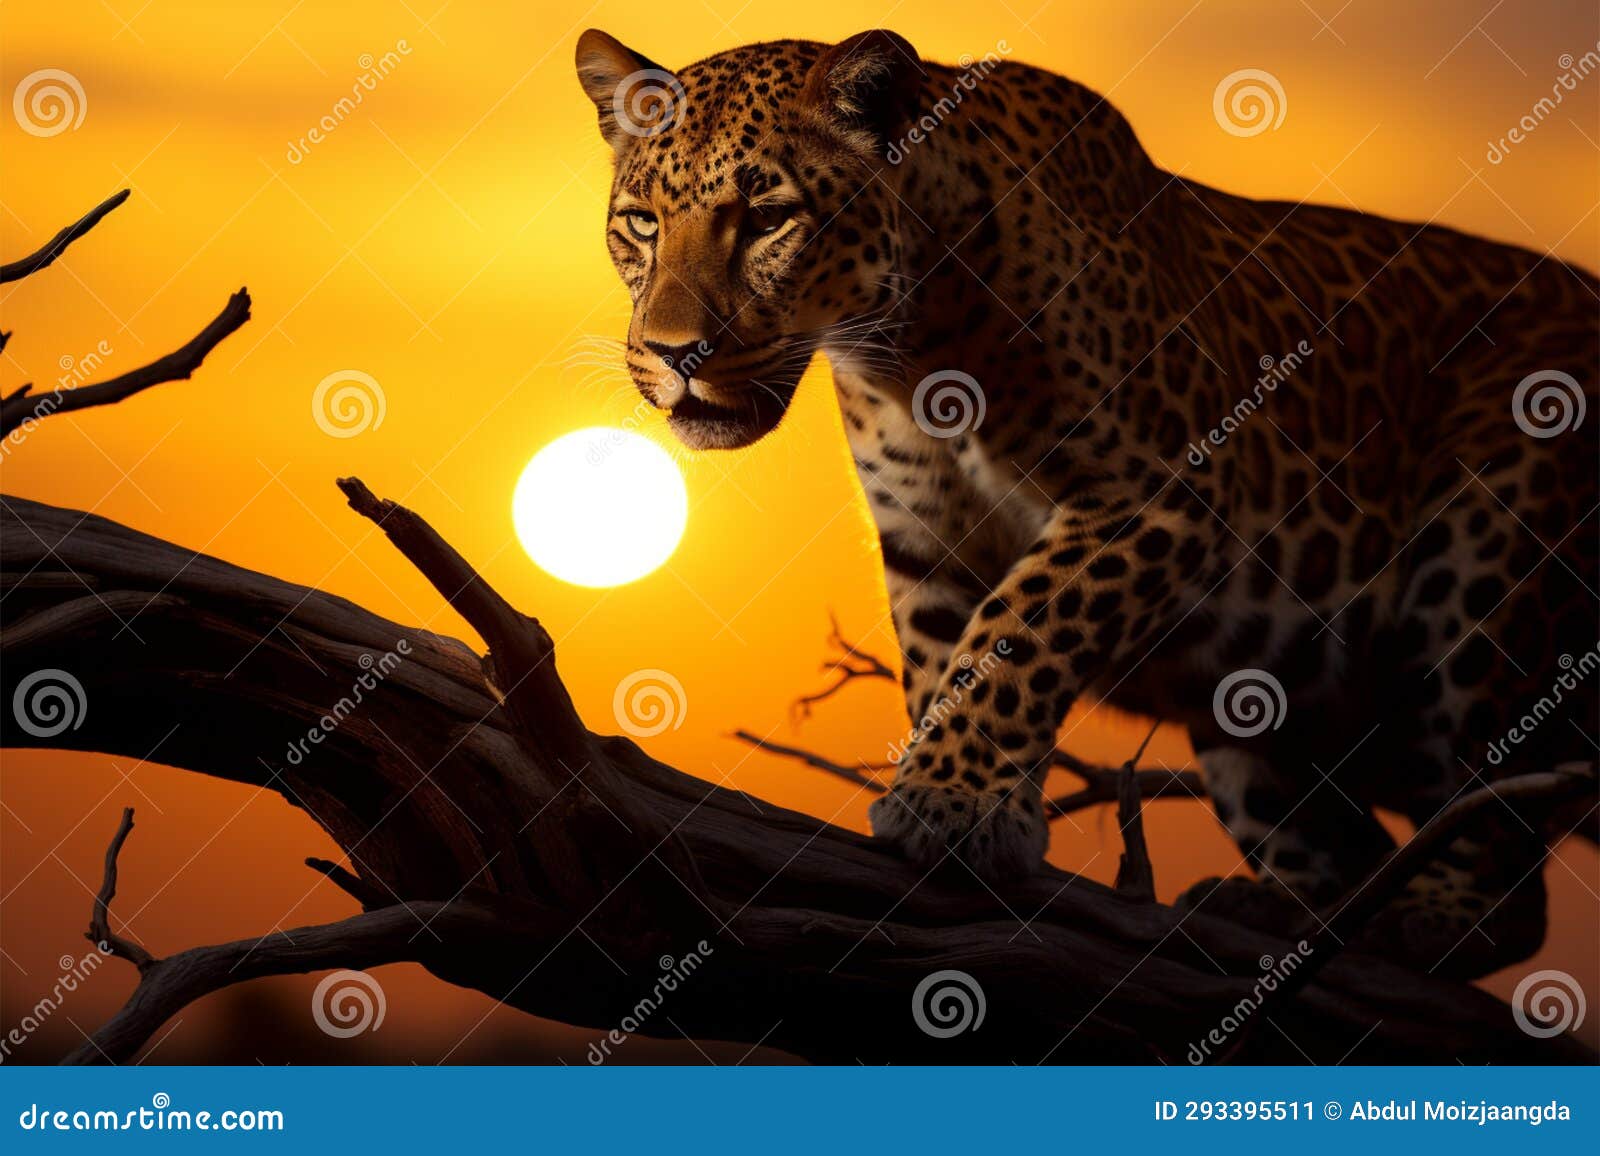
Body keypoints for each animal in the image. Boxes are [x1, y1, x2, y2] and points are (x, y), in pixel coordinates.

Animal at [575, 27, 1598, 978]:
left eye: (768, 218)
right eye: (642, 224)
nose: (674, 353)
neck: (913, 354)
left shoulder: (1160, 490)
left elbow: (1016, 634)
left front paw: (953, 801)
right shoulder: (928, 541)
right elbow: (949, 659)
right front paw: (980, 804)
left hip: (1490, 557)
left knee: (1504, 848)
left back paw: (1431, 919)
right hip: (1254, 719)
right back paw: (1279, 913)